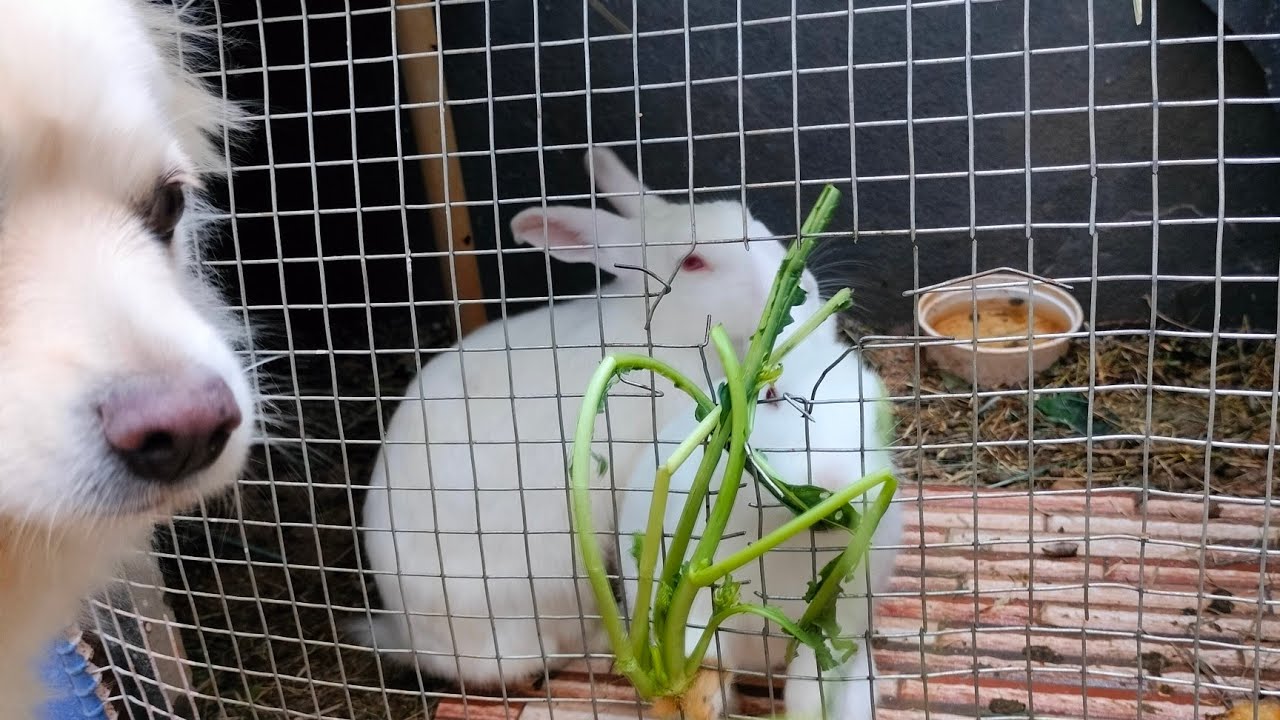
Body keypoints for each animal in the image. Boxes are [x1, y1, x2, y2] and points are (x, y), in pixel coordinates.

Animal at [617, 304, 901, 719]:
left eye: (880, 422)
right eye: (769, 395)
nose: (833, 481)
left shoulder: (831, 625)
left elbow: (810, 684)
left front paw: (802, 713)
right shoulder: (700, 612)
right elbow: (704, 662)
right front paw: (692, 704)